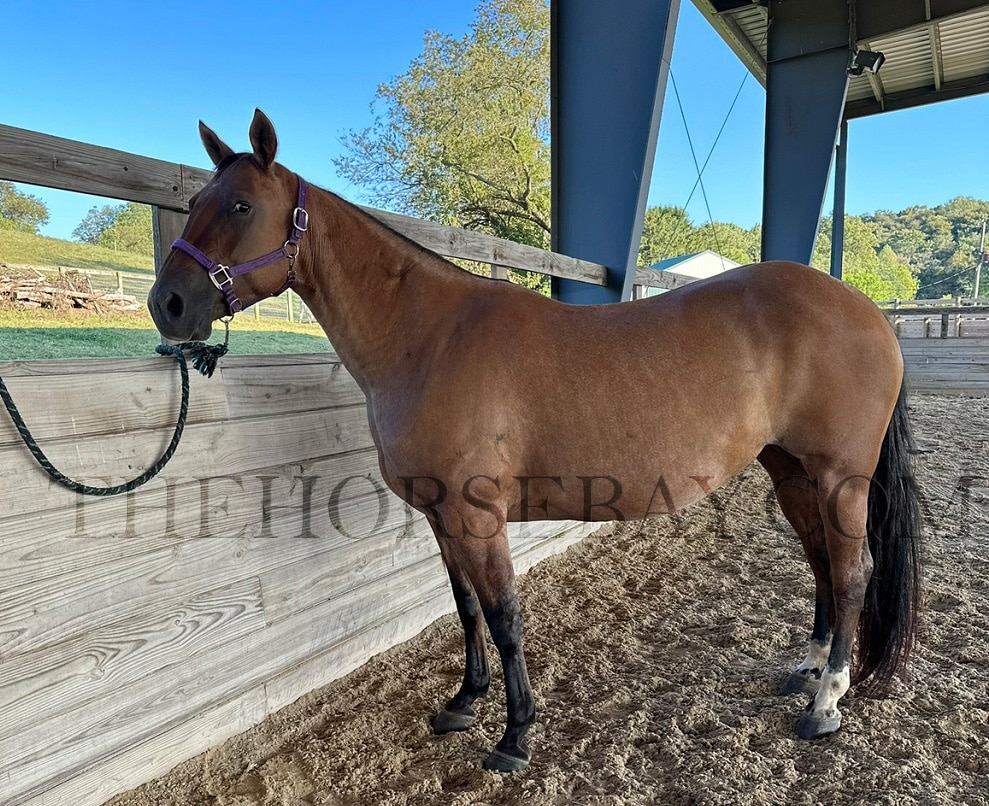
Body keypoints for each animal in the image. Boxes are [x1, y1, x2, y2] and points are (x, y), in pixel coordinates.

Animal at [148, 110, 921, 773]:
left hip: (837, 476)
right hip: (789, 469)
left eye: (240, 206)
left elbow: (504, 615)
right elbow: (465, 609)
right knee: (822, 564)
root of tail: (864, 309)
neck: (429, 336)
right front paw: (464, 702)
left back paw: (826, 703)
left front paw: (515, 735)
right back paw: (808, 669)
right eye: (194, 200)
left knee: (852, 571)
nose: (169, 304)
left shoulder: (477, 515)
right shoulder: (441, 516)